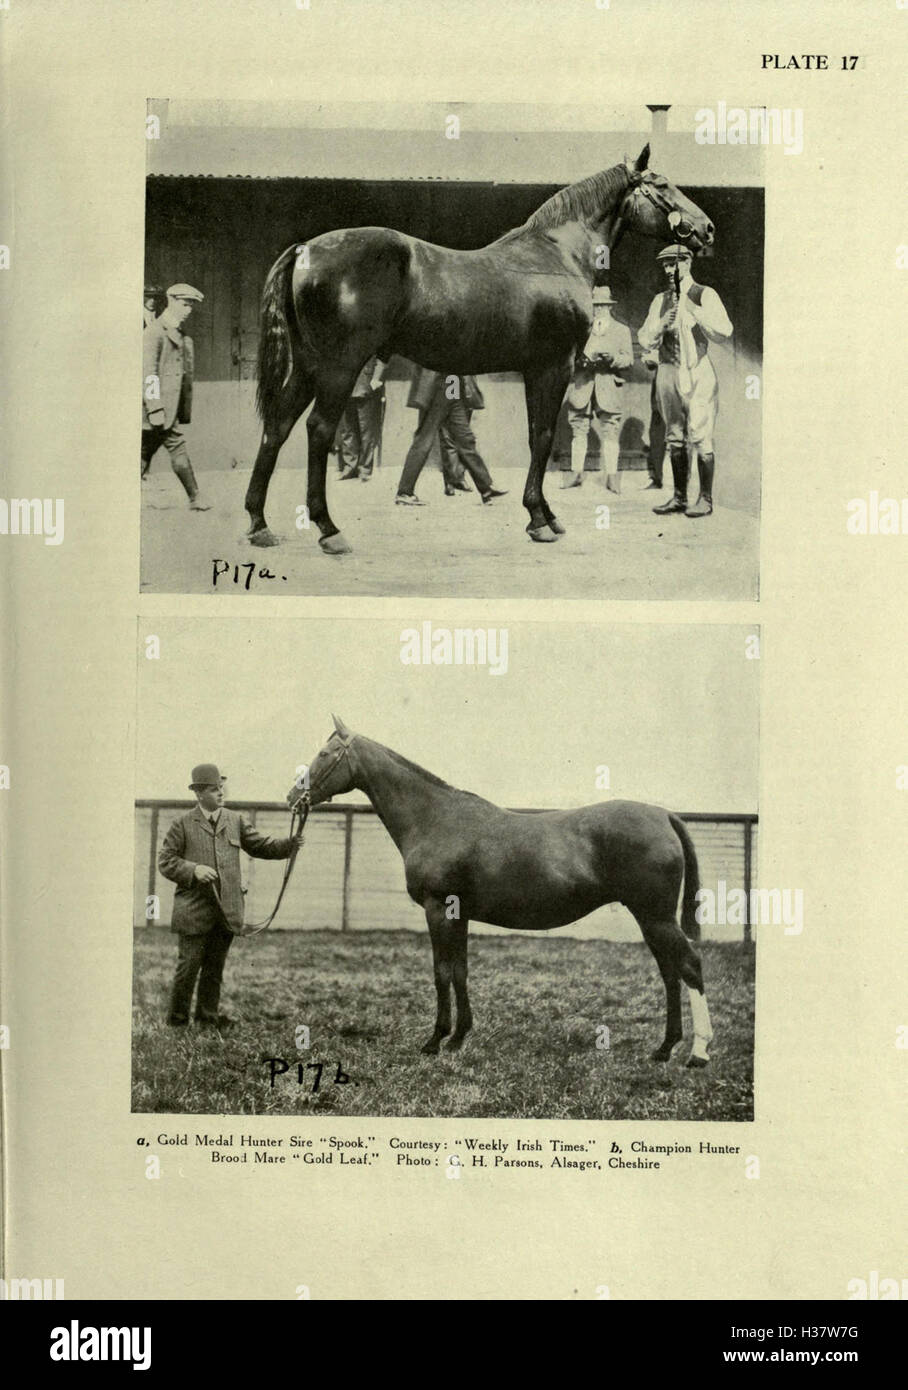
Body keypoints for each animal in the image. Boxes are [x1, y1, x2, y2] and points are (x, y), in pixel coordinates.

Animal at [247, 145, 714, 552]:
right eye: (662, 185)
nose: (706, 228)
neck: (559, 253)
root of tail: (305, 249)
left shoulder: (535, 369)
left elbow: (535, 435)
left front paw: (546, 515)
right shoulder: (554, 366)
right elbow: (544, 436)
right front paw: (538, 520)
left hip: (308, 367)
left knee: (278, 426)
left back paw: (259, 524)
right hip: (339, 367)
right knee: (318, 429)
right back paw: (329, 530)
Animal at [288, 718, 714, 1067]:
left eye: (324, 754)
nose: (293, 797)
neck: (435, 818)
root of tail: (664, 816)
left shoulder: (437, 909)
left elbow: (441, 972)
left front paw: (434, 1041)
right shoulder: (457, 914)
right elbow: (460, 971)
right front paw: (458, 1039)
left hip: (655, 916)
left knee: (690, 965)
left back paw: (698, 1053)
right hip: (650, 918)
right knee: (670, 972)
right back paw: (663, 1049)